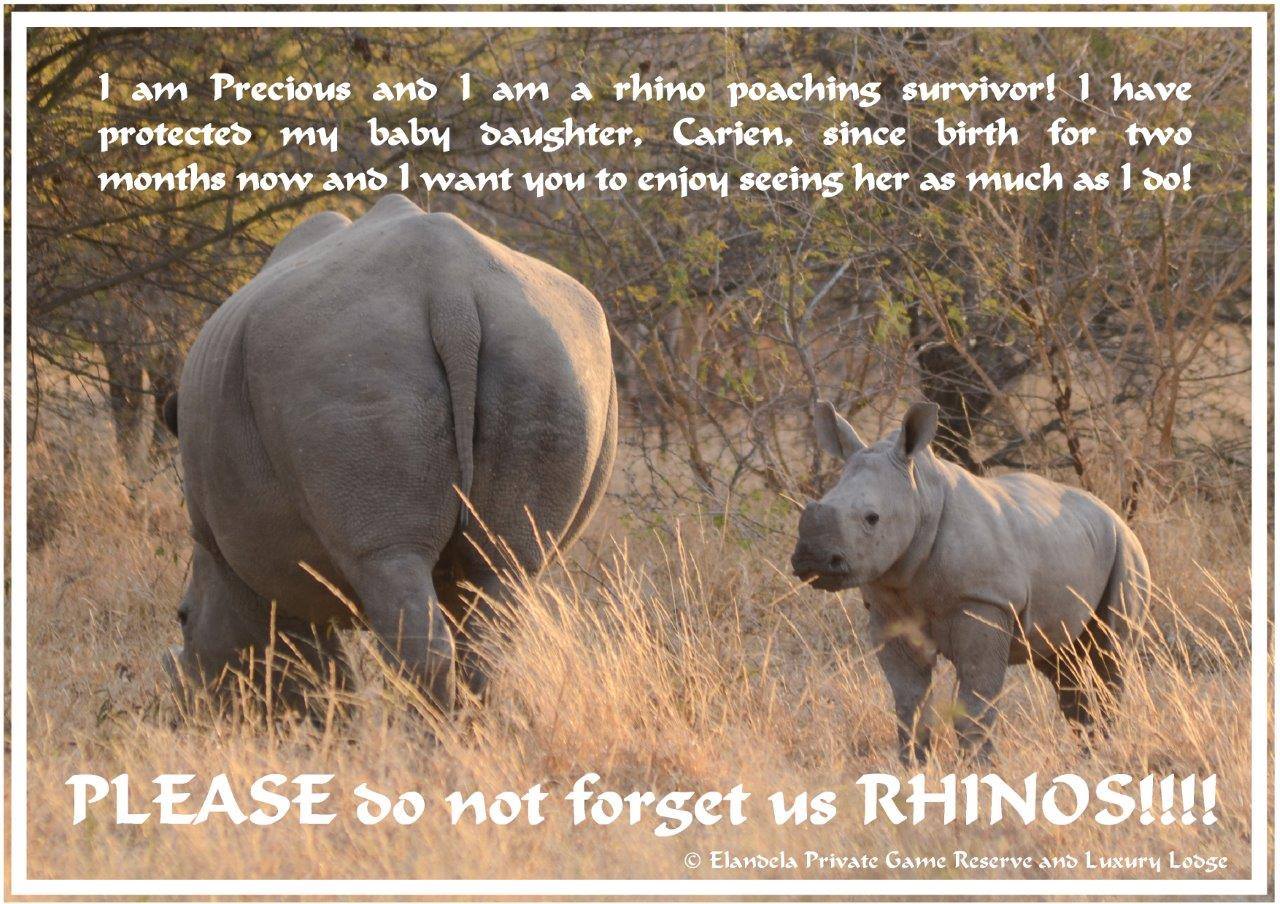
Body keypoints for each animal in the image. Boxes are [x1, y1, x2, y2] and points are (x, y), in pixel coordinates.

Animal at [162, 195, 617, 713]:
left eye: (182, 618)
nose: (190, 711)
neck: (213, 563)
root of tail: (452, 296)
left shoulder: (267, 566)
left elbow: (309, 662)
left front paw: (329, 723)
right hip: (548, 357)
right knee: (504, 570)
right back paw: (465, 725)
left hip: (346, 360)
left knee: (389, 560)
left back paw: (423, 730)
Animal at [791, 401, 1149, 762]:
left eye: (872, 518)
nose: (811, 559)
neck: (920, 496)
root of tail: (1114, 514)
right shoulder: (886, 608)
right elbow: (909, 700)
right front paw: (913, 764)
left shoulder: (984, 601)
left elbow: (975, 695)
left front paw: (979, 764)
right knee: (1062, 660)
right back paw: (1087, 754)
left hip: (1126, 552)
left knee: (1109, 656)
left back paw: (1102, 752)